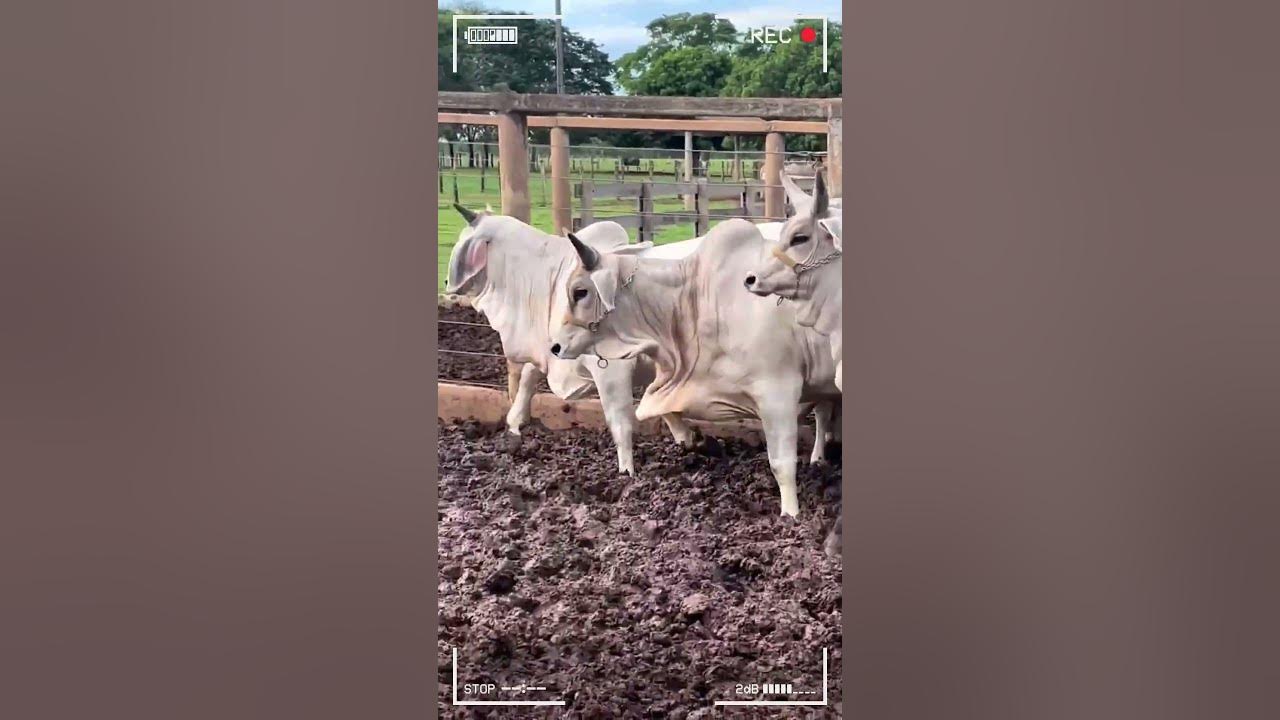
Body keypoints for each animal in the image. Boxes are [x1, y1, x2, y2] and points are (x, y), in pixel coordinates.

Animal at [445, 205, 701, 475]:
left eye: (463, 242)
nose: (446, 282)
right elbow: (528, 378)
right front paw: (514, 427)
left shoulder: (611, 369)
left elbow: (621, 420)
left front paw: (627, 471)